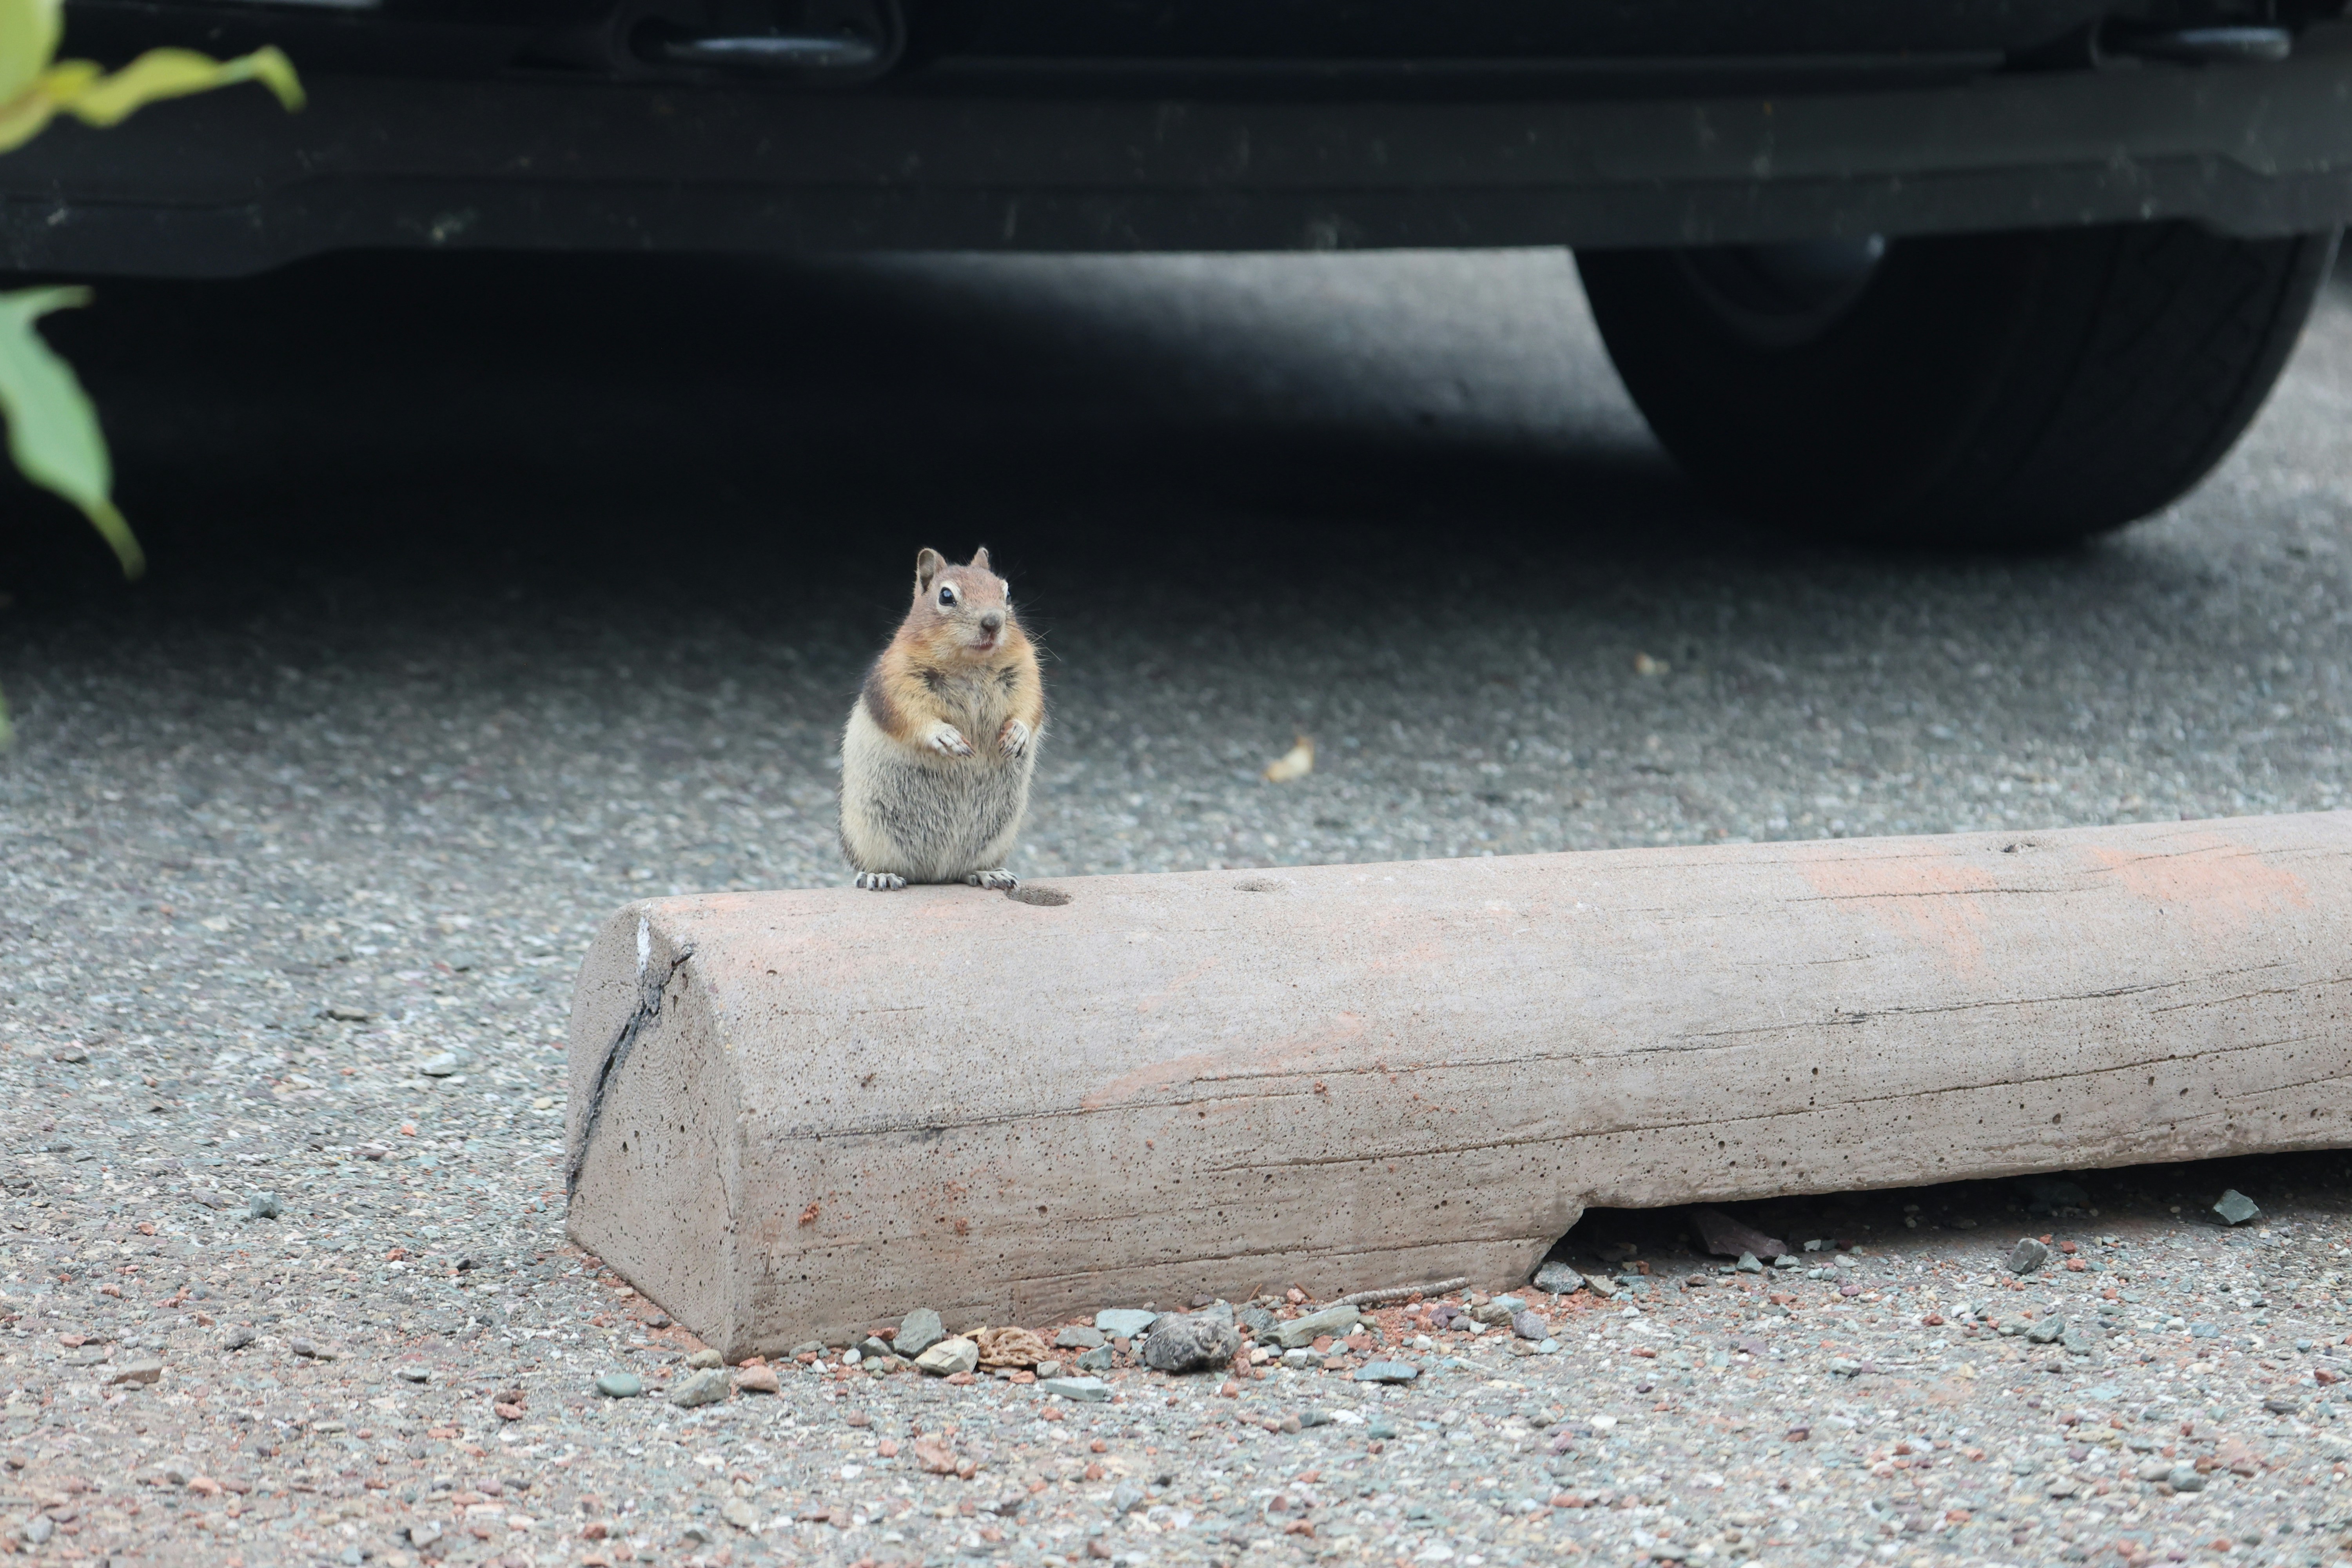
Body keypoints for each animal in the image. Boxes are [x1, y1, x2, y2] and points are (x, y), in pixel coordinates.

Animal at [838, 546, 1044, 891]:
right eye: (946, 596)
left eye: (1007, 593)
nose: (993, 622)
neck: (972, 663)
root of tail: (934, 876)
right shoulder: (896, 676)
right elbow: (911, 712)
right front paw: (945, 737)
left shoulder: (1026, 670)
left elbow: (1030, 705)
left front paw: (1018, 734)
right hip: (869, 836)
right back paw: (881, 875)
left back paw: (988, 873)